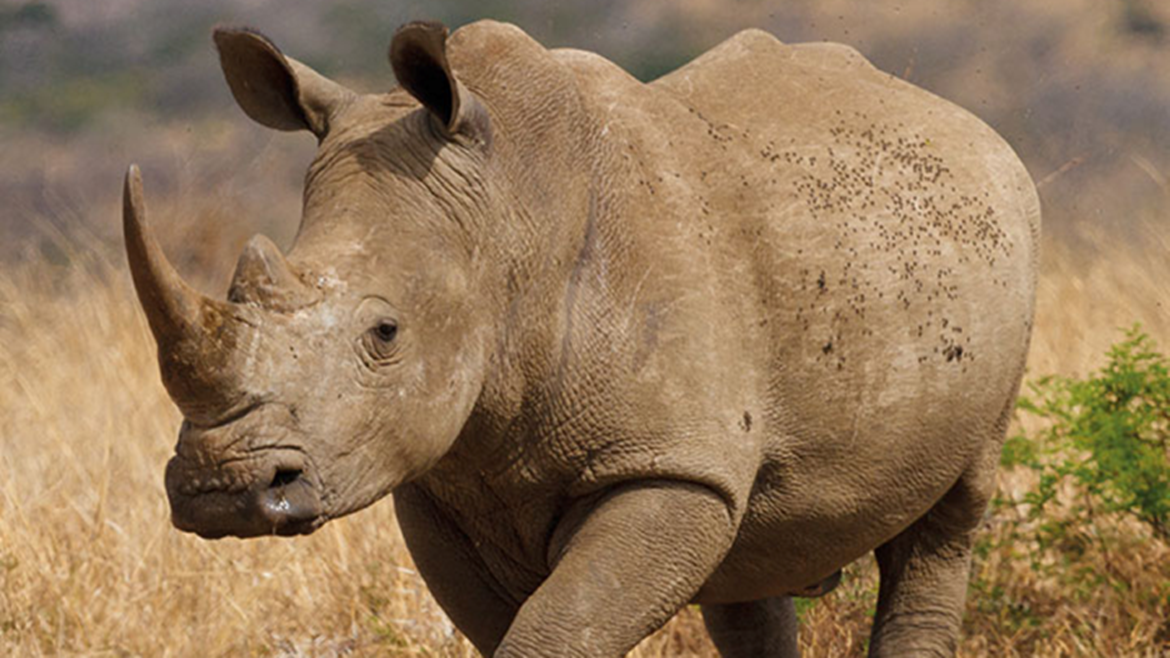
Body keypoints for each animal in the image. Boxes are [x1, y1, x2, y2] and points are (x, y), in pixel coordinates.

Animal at [124, 19, 1039, 657]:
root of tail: (971, 126)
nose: (221, 488)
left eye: (385, 332)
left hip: (1011, 233)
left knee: (949, 516)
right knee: (746, 571)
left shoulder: (661, 461)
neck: (505, 219)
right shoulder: (439, 483)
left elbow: (561, 629)